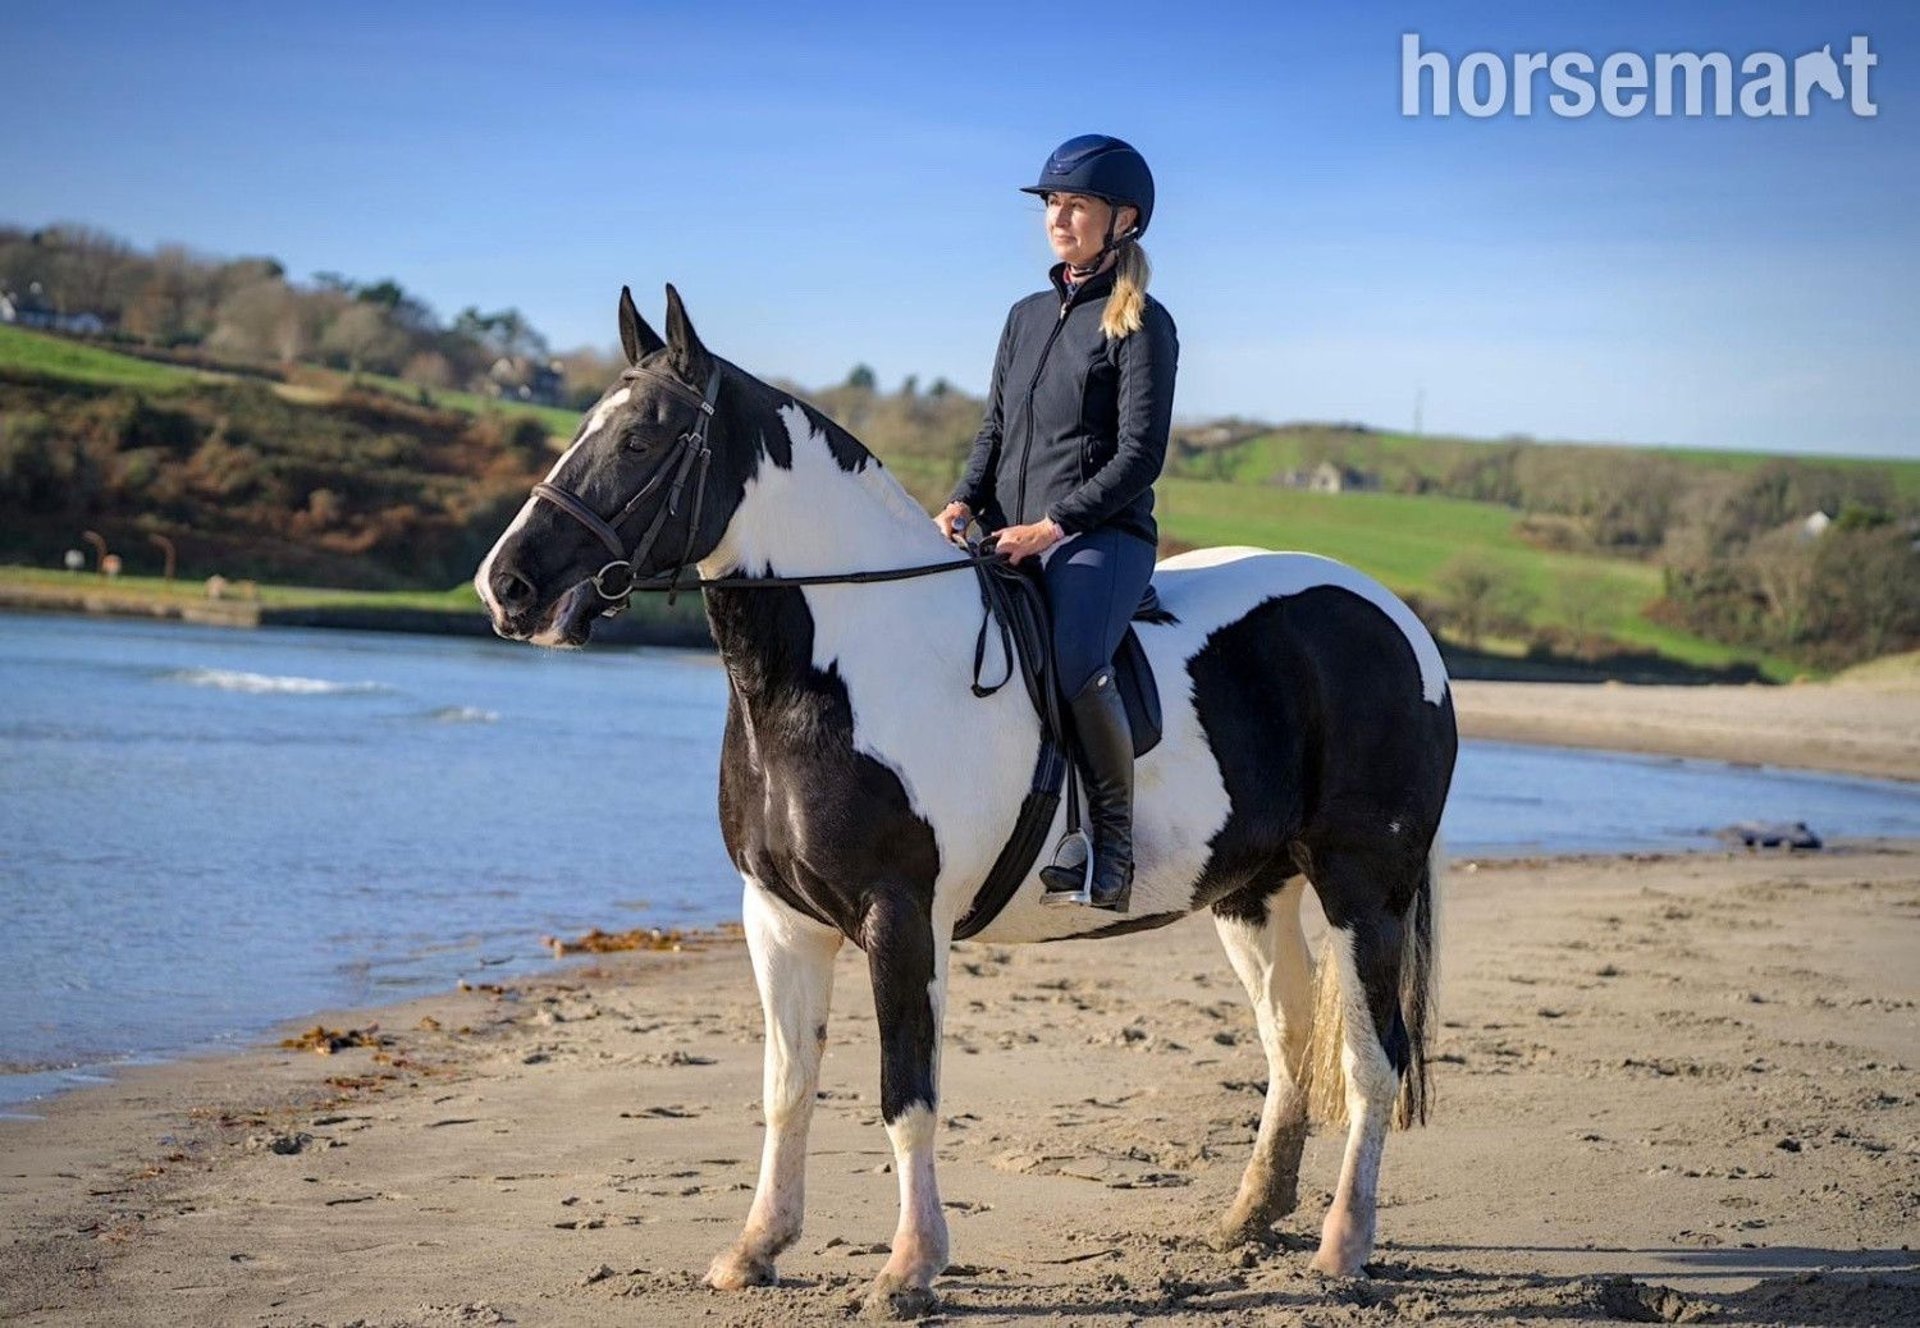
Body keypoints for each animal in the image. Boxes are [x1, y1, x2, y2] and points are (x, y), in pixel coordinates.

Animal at [475, 284, 1459, 1317]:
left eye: (641, 438)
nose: (506, 587)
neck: (845, 662)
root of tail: (1399, 624)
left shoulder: (901, 915)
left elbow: (905, 1094)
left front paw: (909, 1269)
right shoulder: (779, 919)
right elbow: (788, 1087)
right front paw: (756, 1249)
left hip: (1363, 889)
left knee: (1372, 1059)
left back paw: (1343, 1246)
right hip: (1253, 894)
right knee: (1289, 1041)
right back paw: (1249, 1218)